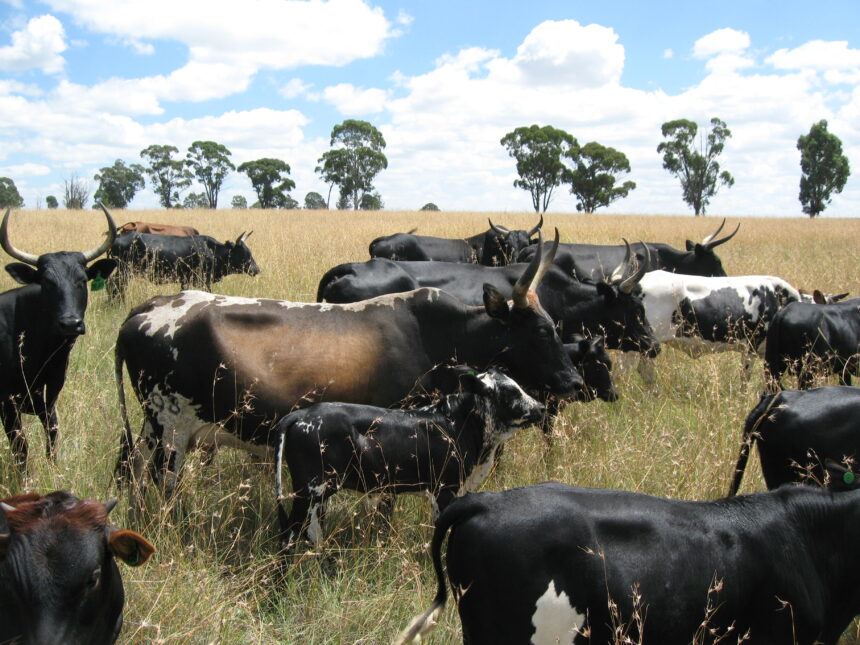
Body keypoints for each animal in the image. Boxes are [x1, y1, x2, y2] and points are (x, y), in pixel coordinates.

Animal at [0, 206, 116, 468]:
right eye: (47, 282)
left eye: (82, 281)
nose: (70, 324)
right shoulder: (7, 403)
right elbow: (21, 448)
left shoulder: (50, 397)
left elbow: (52, 438)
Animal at [106, 230, 259, 299]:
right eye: (244, 253)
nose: (256, 269)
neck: (212, 250)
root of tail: (118, 236)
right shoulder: (203, 281)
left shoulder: (186, 281)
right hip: (124, 271)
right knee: (115, 285)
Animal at [274, 369, 544, 554]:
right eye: (511, 391)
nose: (541, 407)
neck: (456, 424)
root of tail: (302, 414)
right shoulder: (444, 489)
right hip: (307, 491)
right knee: (289, 537)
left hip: (319, 496)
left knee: (314, 533)